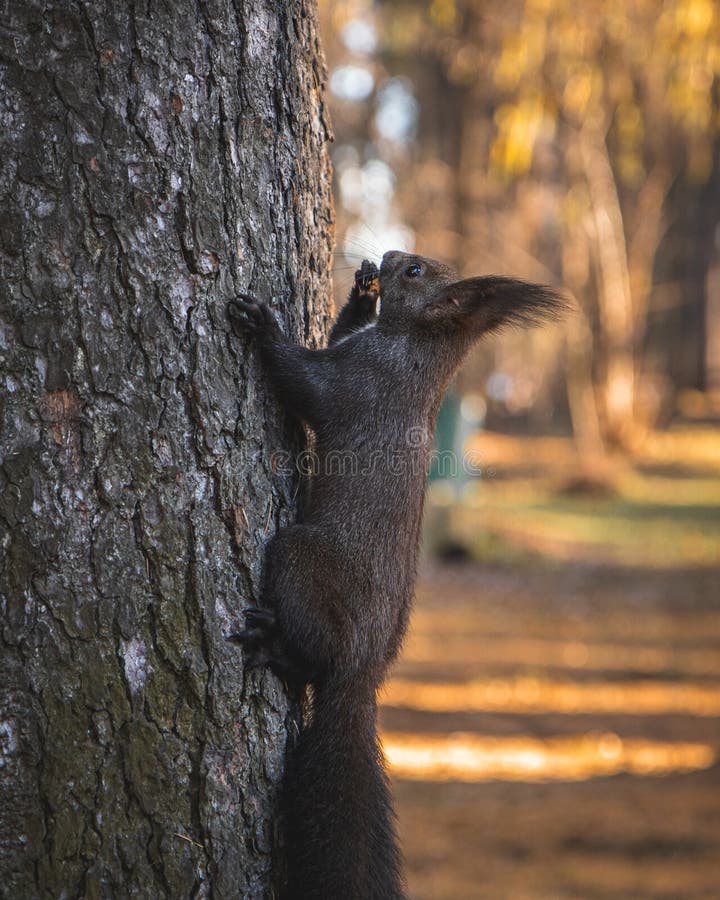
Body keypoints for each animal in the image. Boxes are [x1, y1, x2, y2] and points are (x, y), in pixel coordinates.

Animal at [227, 251, 565, 899]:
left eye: (414, 272)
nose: (384, 258)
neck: (415, 350)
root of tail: (363, 674)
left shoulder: (358, 382)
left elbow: (303, 381)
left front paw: (263, 325)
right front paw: (359, 294)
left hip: (300, 559)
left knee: (311, 658)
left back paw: (275, 645)